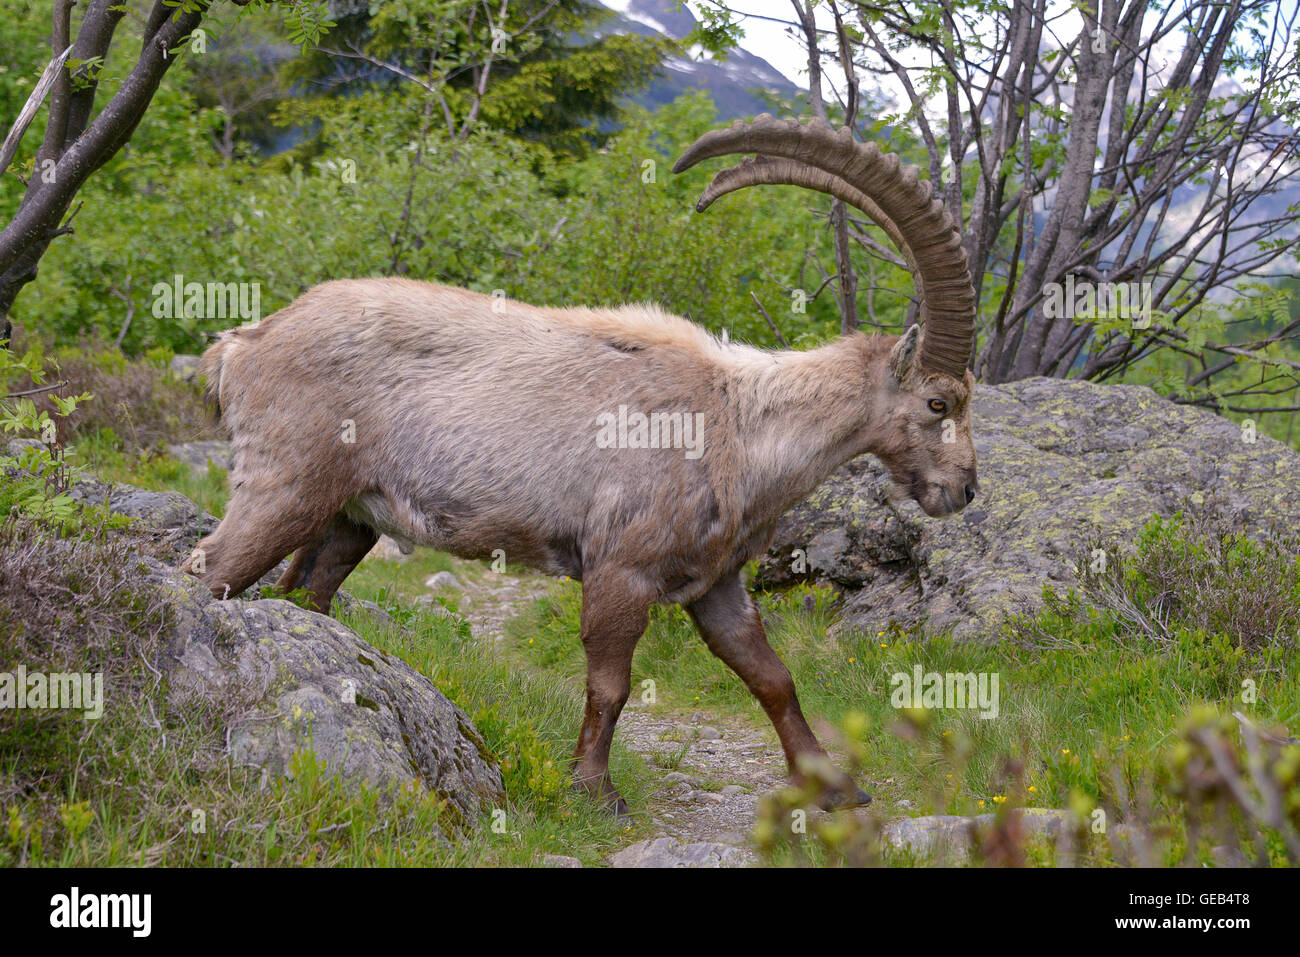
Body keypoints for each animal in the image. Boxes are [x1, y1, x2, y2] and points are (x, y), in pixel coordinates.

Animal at [182, 116, 979, 816]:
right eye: (940, 401)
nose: (966, 490)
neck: (738, 422)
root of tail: (243, 343)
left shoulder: (715, 581)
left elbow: (771, 677)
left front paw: (833, 787)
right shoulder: (621, 566)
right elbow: (611, 684)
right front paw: (596, 793)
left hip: (347, 517)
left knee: (302, 596)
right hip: (282, 486)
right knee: (207, 570)